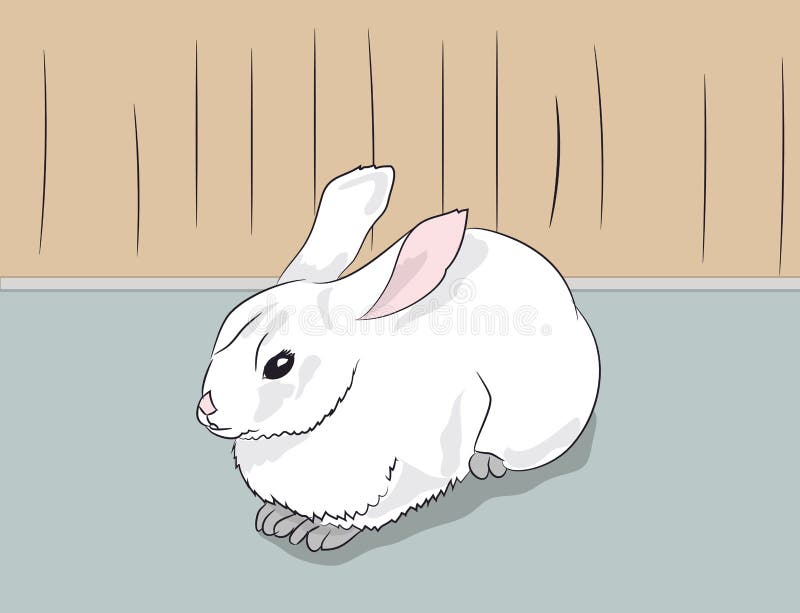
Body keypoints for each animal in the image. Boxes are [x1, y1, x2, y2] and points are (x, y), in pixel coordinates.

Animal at [197, 165, 600, 551]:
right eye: (223, 333)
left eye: (279, 365)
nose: (207, 408)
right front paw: (277, 518)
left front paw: (321, 532)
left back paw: (486, 462)